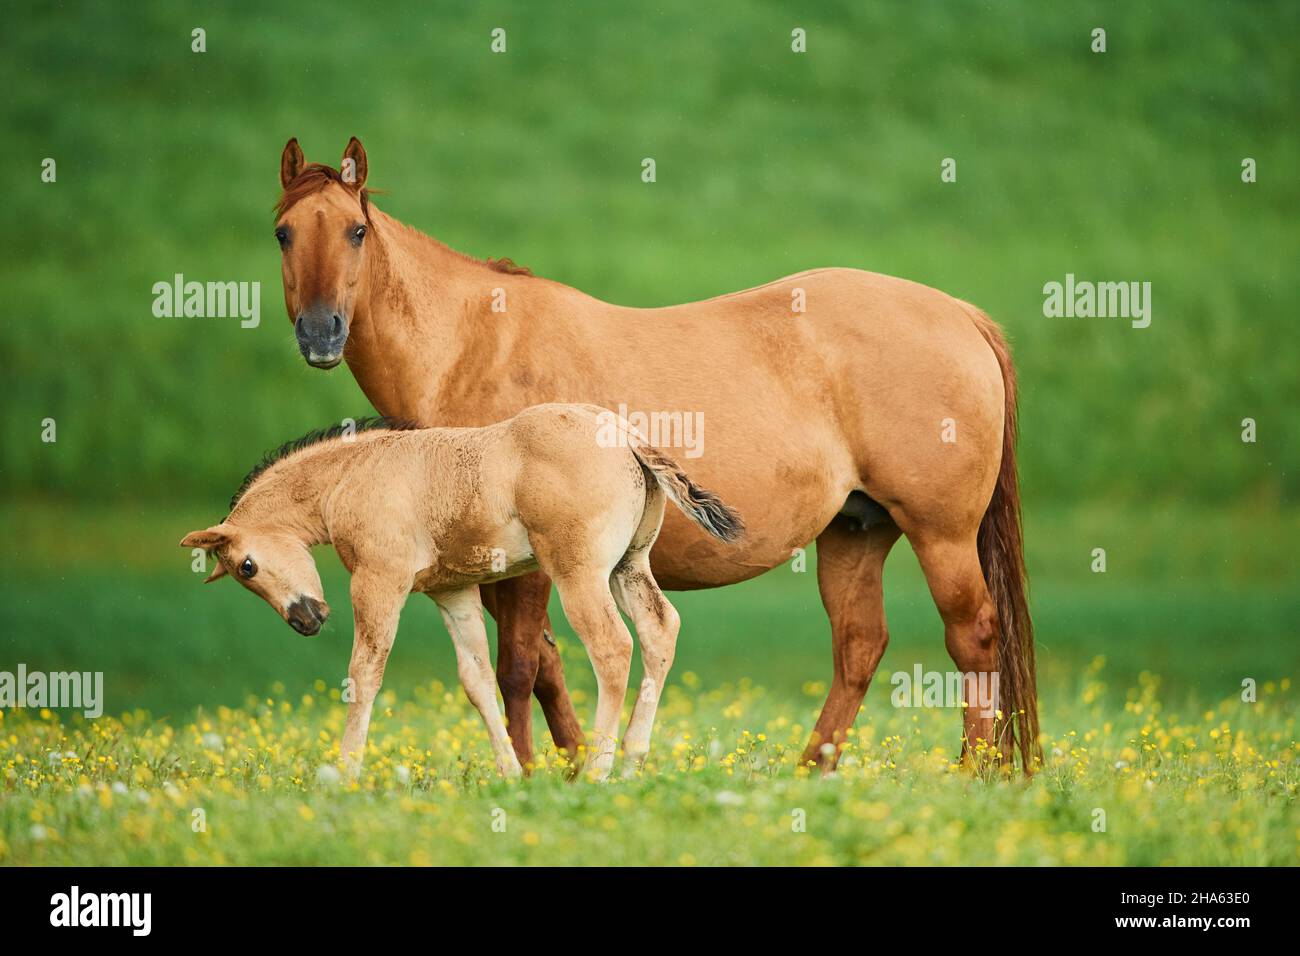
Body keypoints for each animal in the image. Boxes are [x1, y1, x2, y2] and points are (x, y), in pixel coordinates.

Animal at [180, 405, 744, 779]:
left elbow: (364, 673)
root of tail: (625, 435)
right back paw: (630, 763)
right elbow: (475, 680)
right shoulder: (453, 593)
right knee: (659, 630)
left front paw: (345, 774)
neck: (351, 475)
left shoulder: (379, 582)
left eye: (248, 567)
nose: (306, 620)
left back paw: (597, 771)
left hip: (578, 573)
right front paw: (511, 775)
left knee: (612, 647)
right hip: (626, 567)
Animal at [271, 136, 1040, 772]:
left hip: (940, 534)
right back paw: (811, 773)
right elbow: (543, 668)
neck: (471, 348)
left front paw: (537, 774)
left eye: (356, 231)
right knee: (859, 646)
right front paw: (574, 765)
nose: (319, 333)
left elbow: (519, 665)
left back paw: (975, 774)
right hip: (856, 530)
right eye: (283, 233)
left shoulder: (527, 571)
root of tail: (960, 315)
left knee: (973, 636)